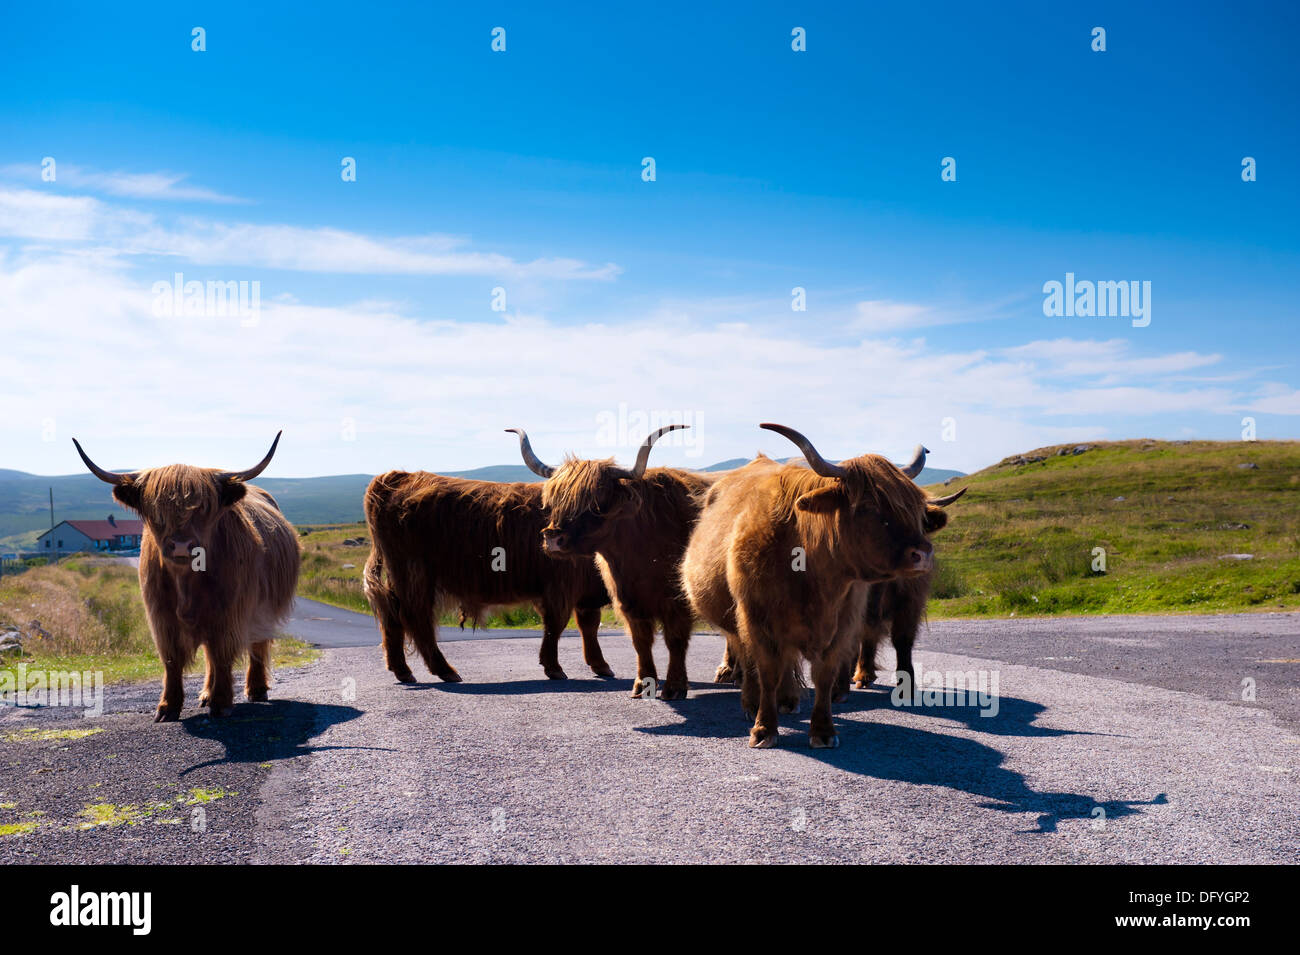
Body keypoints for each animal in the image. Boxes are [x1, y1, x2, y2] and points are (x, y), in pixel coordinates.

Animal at [72, 433, 300, 722]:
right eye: (156, 510)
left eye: (203, 508)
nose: (181, 545)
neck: (186, 583)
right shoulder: (161, 617)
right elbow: (173, 660)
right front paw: (168, 707)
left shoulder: (229, 613)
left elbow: (222, 655)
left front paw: (222, 703)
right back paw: (205, 694)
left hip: (264, 607)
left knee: (256, 645)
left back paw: (256, 690)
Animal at [362, 467, 611, 684]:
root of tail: (397, 476)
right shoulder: (561, 586)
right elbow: (556, 625)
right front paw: (554, 668)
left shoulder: (585, 592)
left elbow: (589, 626)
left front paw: (600, 665)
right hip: (414, 574)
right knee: (416, 618)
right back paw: (445, 670)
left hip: (399, 578)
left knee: (392, 617)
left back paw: (402, 670)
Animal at [510, 425, 712, 700]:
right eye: (555, 502)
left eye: (596, 505)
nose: (553, 538)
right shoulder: (628, 600)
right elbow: (641, 641)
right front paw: (642, 684)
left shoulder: (677, 602)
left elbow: (675, 640)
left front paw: (674, 687)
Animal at [680, 424, 965, 748]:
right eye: (868, 505)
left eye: (916, 508)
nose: (923, 554)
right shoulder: (757, 618)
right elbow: (767, 670)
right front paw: (764, 729)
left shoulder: (847, 619)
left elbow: (825, 674)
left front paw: (823, 730)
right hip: (735, 620)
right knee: (746, 655)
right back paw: (752, 703)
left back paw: (789, 699)